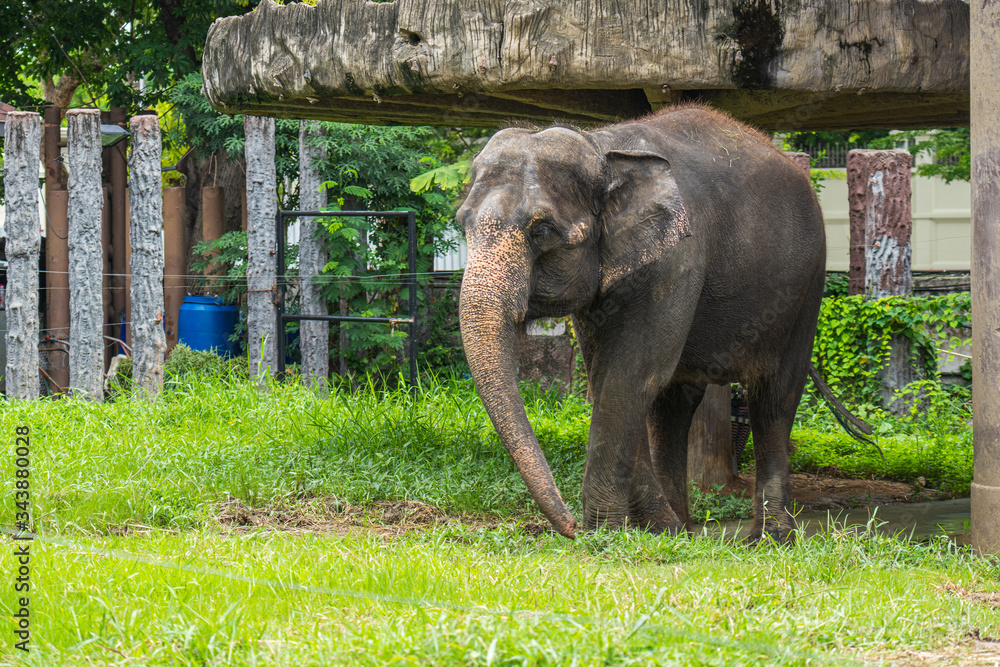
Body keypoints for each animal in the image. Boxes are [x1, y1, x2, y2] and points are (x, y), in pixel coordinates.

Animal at [457, 102, 841, 542]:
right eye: (462, 224)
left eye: (542, 230)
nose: (570, 526)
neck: (601, 146)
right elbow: (606, 376)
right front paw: (647, 530)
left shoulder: (678, 258)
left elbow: (630, 375)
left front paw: (604, 535)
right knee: (673, 405)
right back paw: (681, 529)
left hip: (806, 288)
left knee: (774, 400)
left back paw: (768, 540)